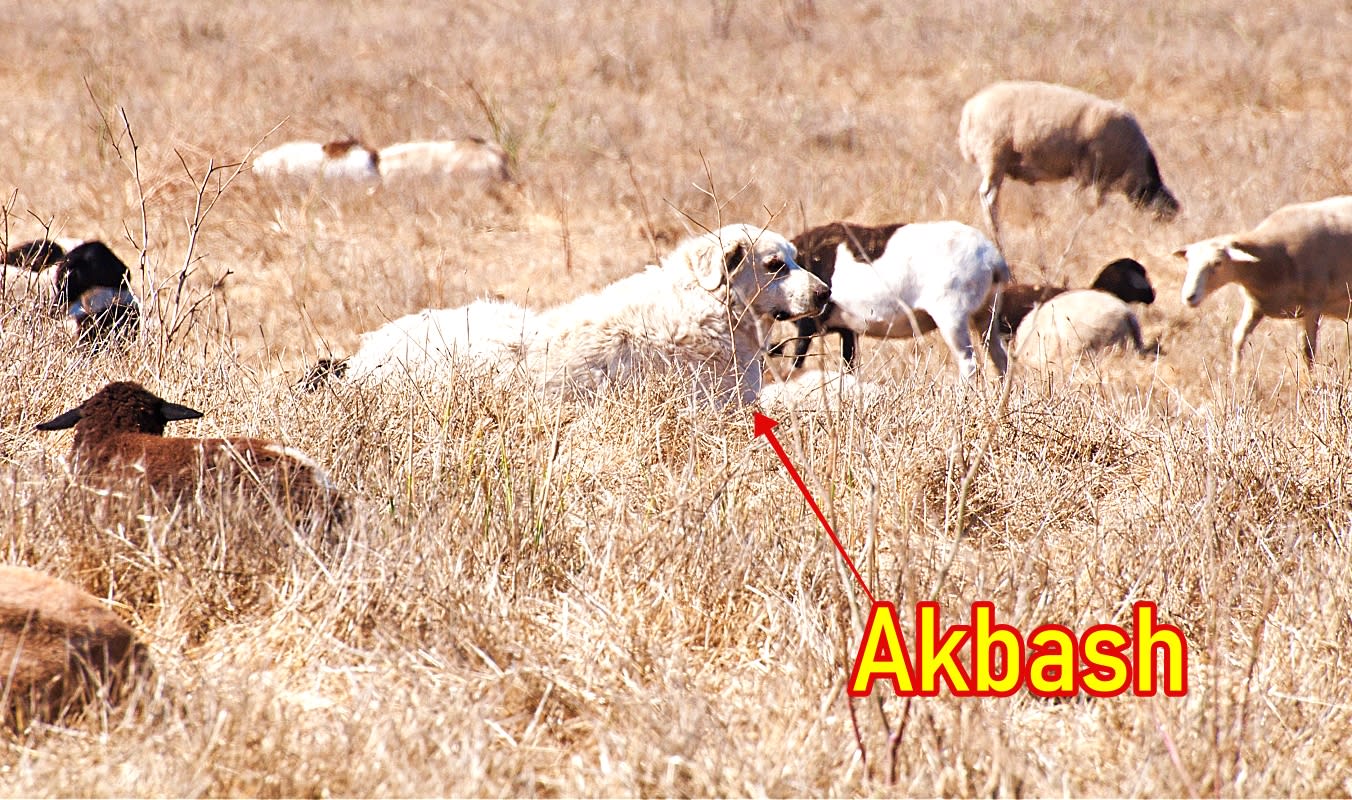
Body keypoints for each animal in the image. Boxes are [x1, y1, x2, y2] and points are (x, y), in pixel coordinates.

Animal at [780, 220, 1009, 379]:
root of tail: (993, 258)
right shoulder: (848, 333)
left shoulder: (806, 328)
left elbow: (795, 365)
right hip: (985, 319)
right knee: (1001, 359)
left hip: (953, 322)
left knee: (969, 364)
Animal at [958, 80, 1180, 244]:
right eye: (1162, 219)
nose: (1159, 238)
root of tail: (970, 110)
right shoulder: (1091, 176)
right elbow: (1087, 204)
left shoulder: (1093, 180)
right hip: (994, 156)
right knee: (988, 197)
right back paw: (996, 236)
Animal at [1175, 195, 1352, 373]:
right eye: (1189, 261)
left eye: (1218, 263)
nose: (1189, 296)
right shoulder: (1255, 305)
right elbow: (1238, 339)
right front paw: (1235, 375)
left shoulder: (1313, 305)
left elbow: (1307, 350)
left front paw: (1309, 378)